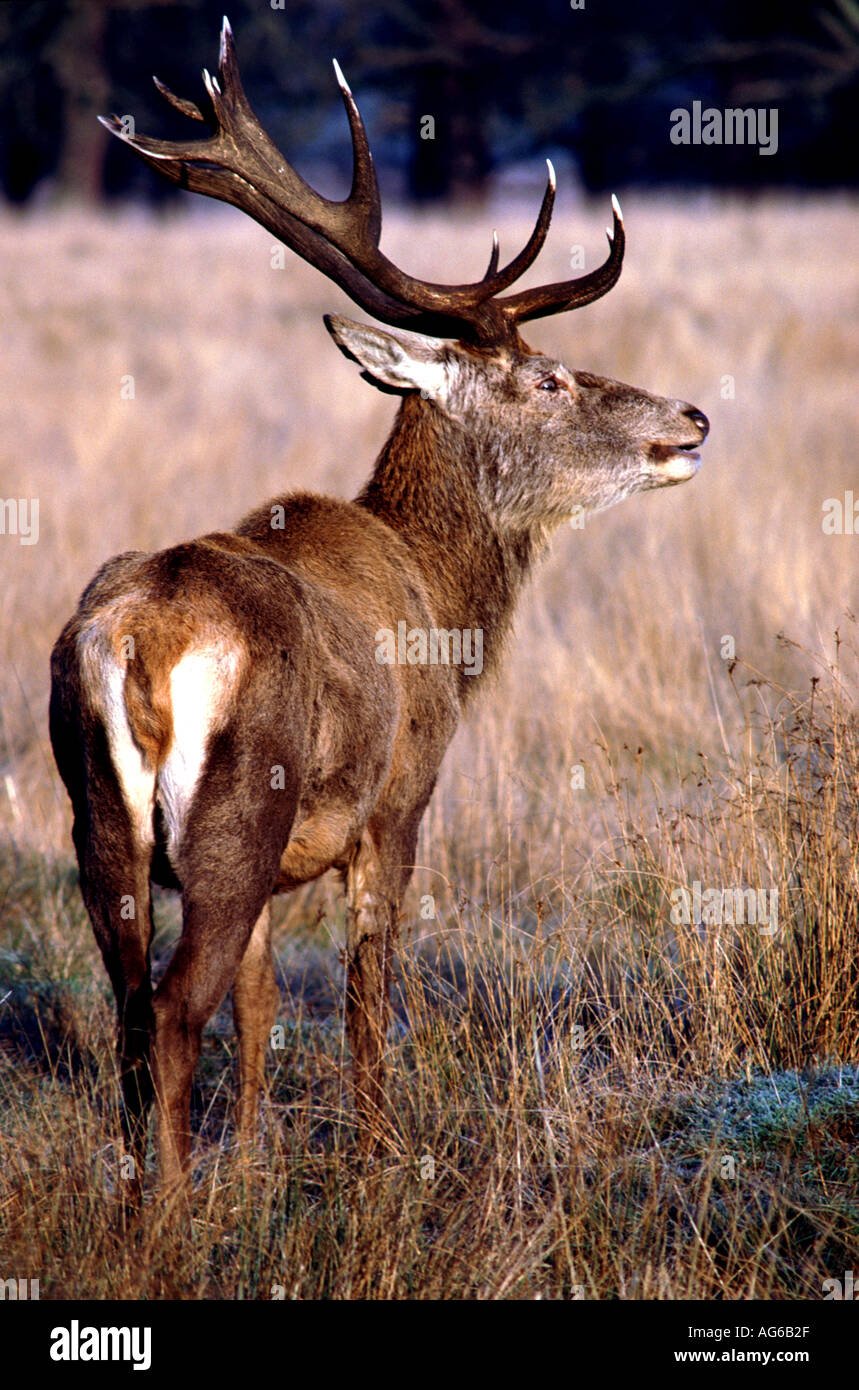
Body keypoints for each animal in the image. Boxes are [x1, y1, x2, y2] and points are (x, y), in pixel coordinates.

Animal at [49, 18, 708, 1196]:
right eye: (546, 380)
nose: (690, 418)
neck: (444, 601)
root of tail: (133, 639)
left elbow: (264, 1000)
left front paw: (256, 1160)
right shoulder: (402, 797)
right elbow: (365, 993)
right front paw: (378, 1157)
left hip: (98, 819)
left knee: (130, 1005)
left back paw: (146, 1194)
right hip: (236, 806)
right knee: (170, 1010)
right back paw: (170, 1213)